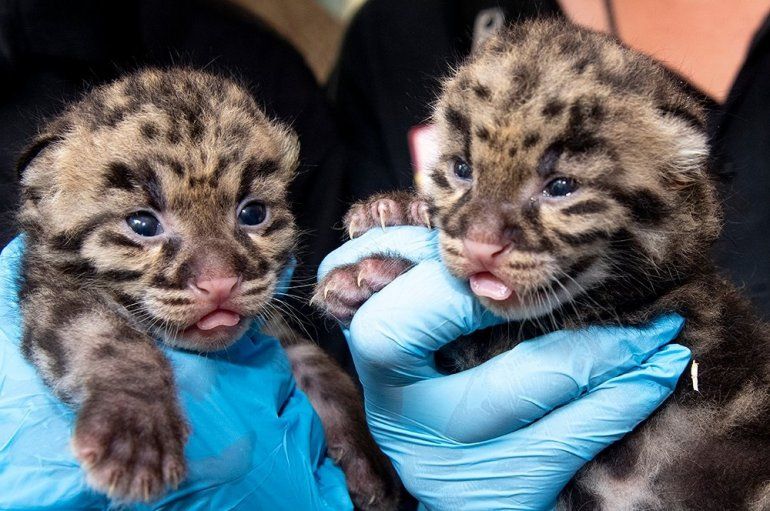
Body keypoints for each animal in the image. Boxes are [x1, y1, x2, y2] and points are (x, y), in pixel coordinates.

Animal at [16, 67, 397, 509]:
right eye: (142, 223)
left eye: (253, 213)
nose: (219, 283)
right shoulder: (53, 293)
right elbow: (113, 340)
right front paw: (135, 434)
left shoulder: (273, 329)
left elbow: (322, 370)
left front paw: (369, 458)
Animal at [314, 19, 770, 510]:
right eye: (463, 169)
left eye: (561, 186)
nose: (479, 244)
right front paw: (396, 213)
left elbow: (493, 340)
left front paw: (373, 274)